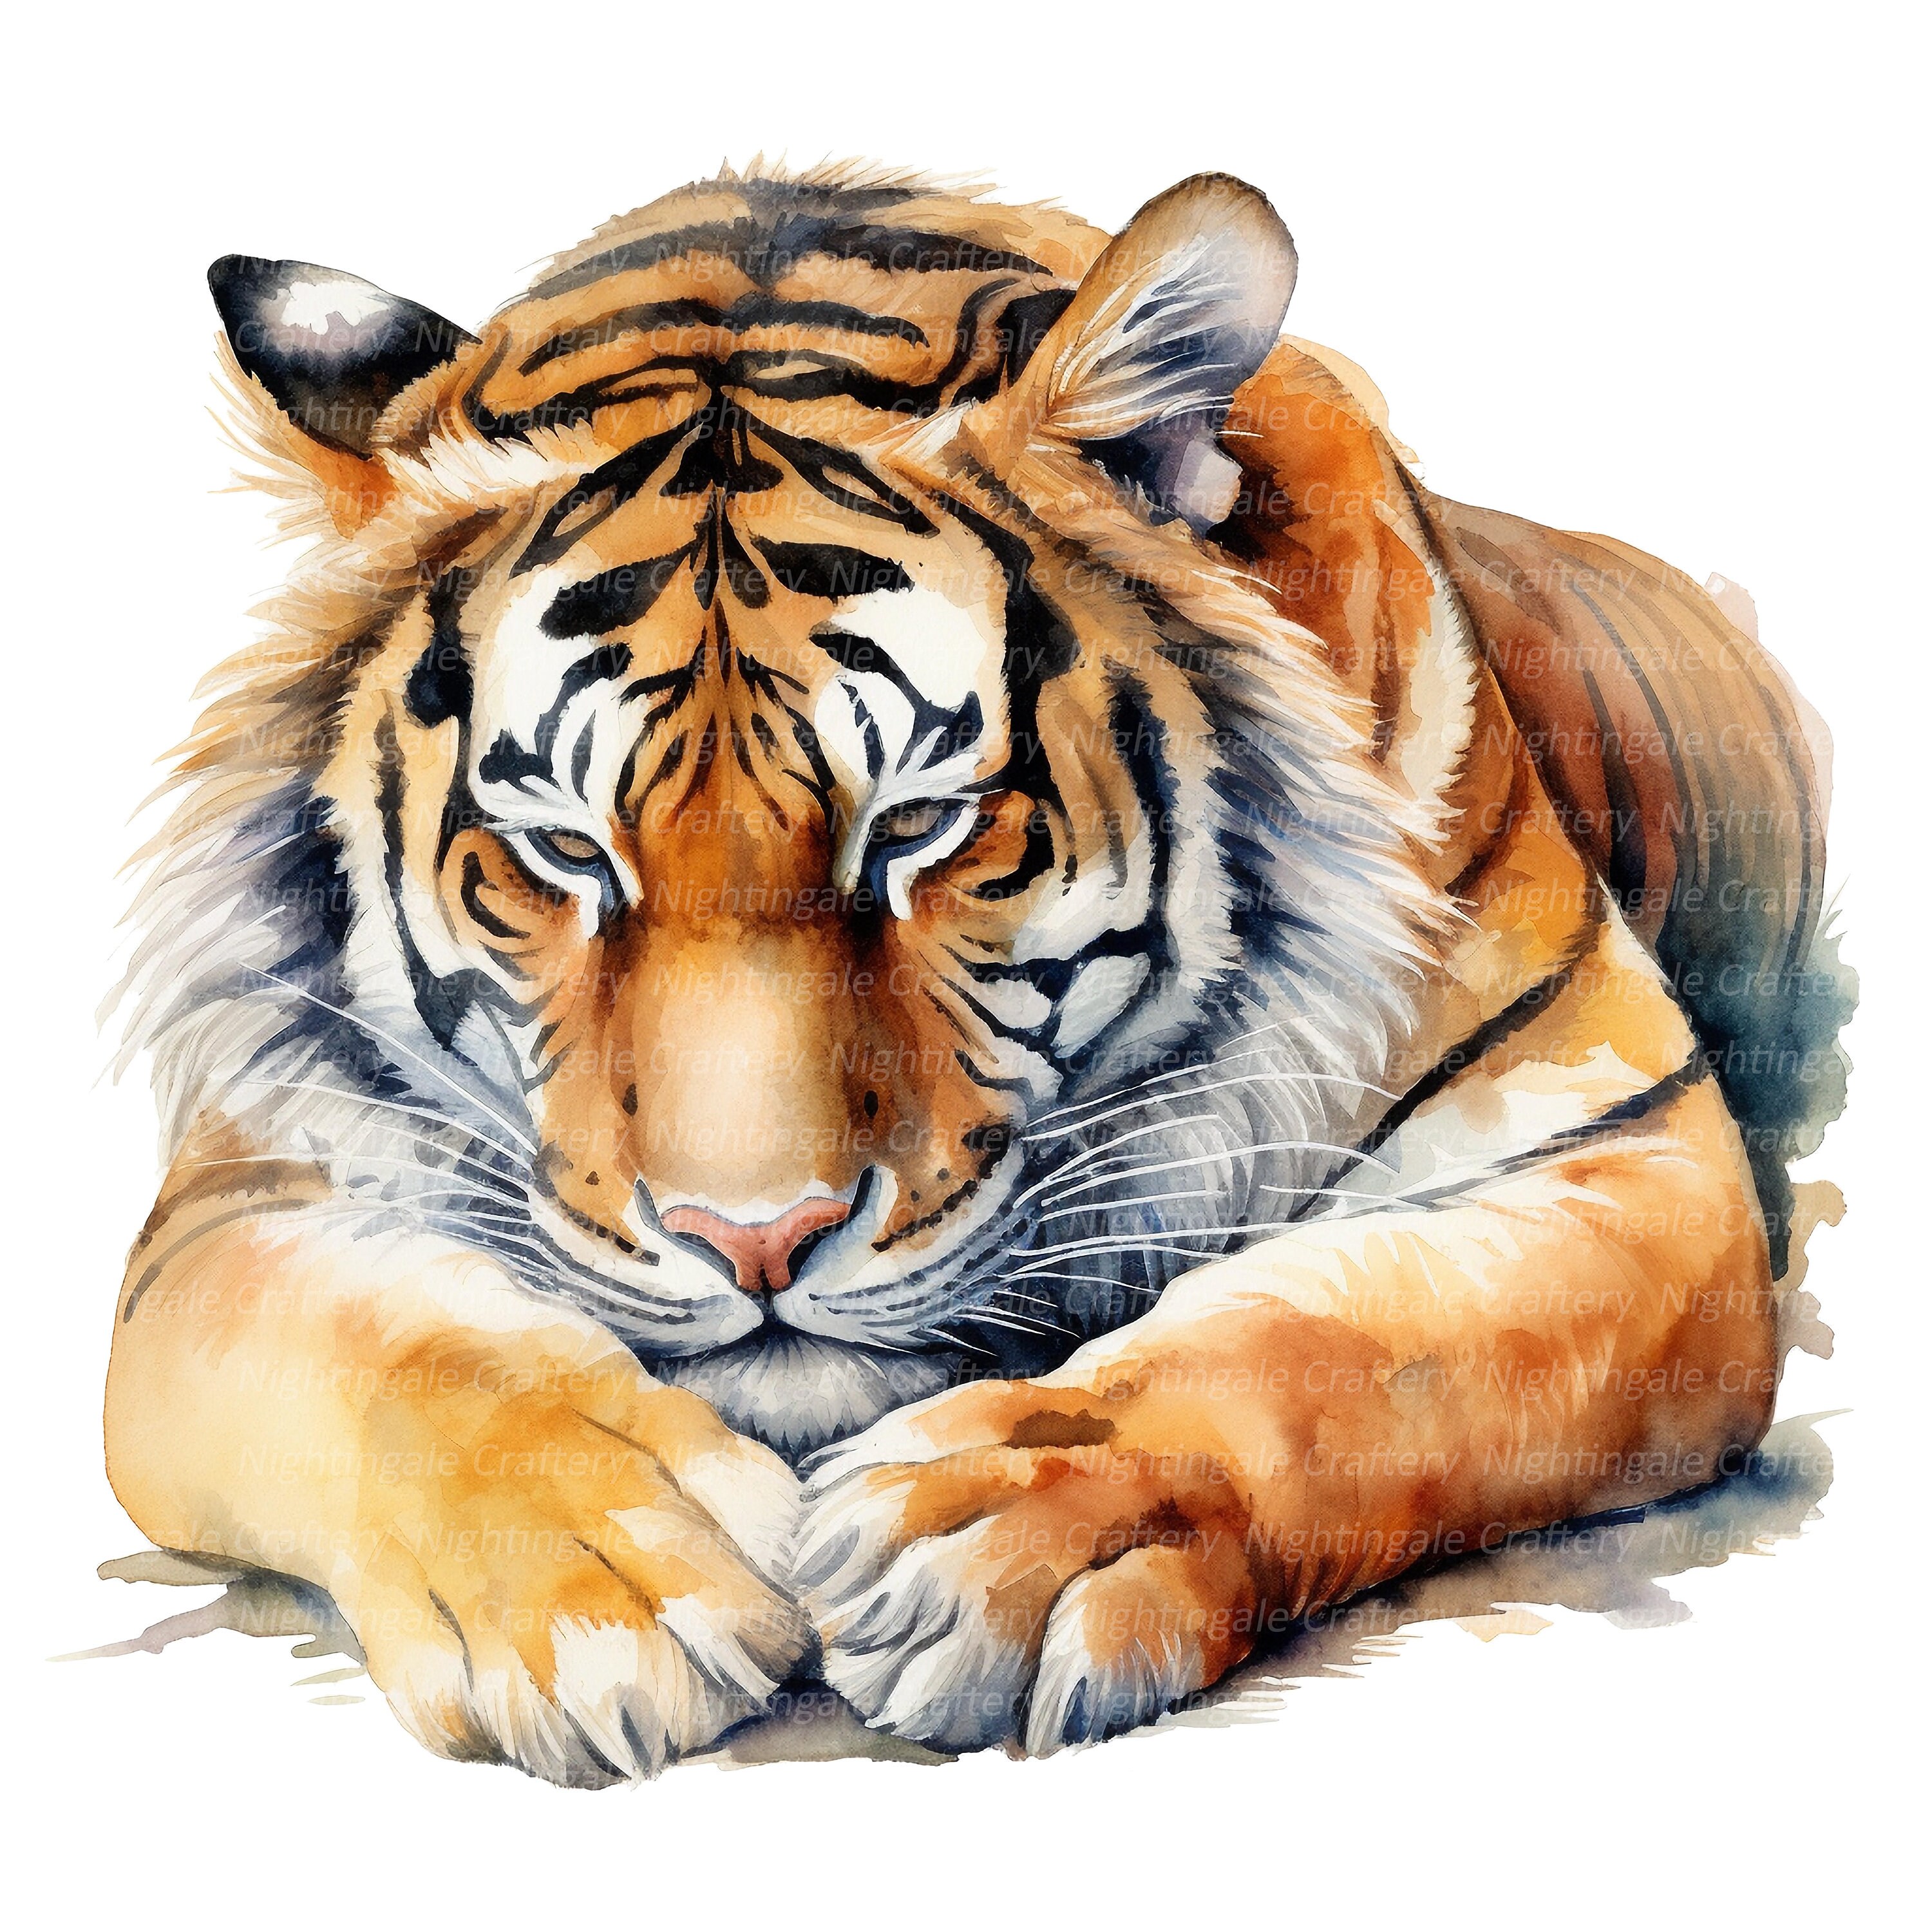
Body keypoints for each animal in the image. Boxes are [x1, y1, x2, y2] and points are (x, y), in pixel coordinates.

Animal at [104, 161, 1851, 1784]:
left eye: (920, 824)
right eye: (564, 850)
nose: (757, 1241)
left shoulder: (1618, 1139)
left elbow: (1355, 1341)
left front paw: (997, 1536)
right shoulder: (243, 1194)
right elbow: (393, 1345)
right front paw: (600, 1571)